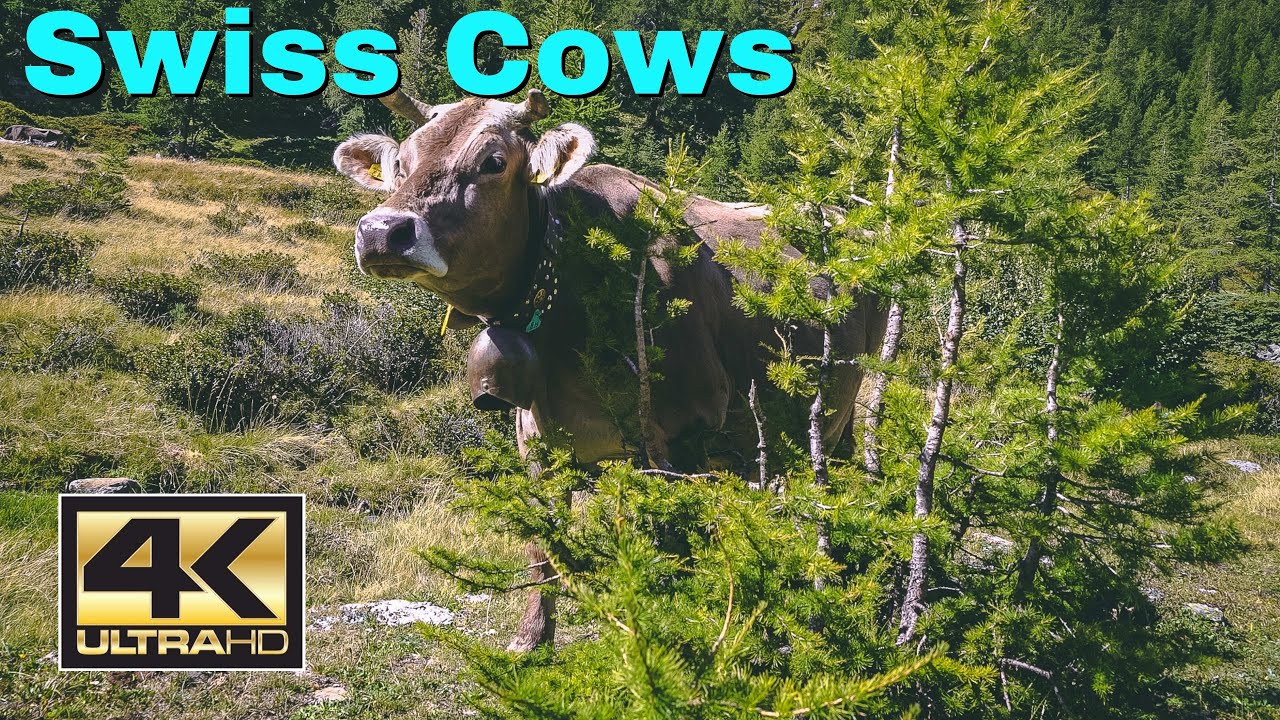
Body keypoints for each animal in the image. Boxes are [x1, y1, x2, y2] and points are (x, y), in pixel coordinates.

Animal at [333, 89, 887, 652]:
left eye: (494, 162)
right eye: (400, 164)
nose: (382, 231)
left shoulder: (687, 430)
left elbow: (678, 548)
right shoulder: (536, 439)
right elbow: (542, 546)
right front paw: (530, 638)